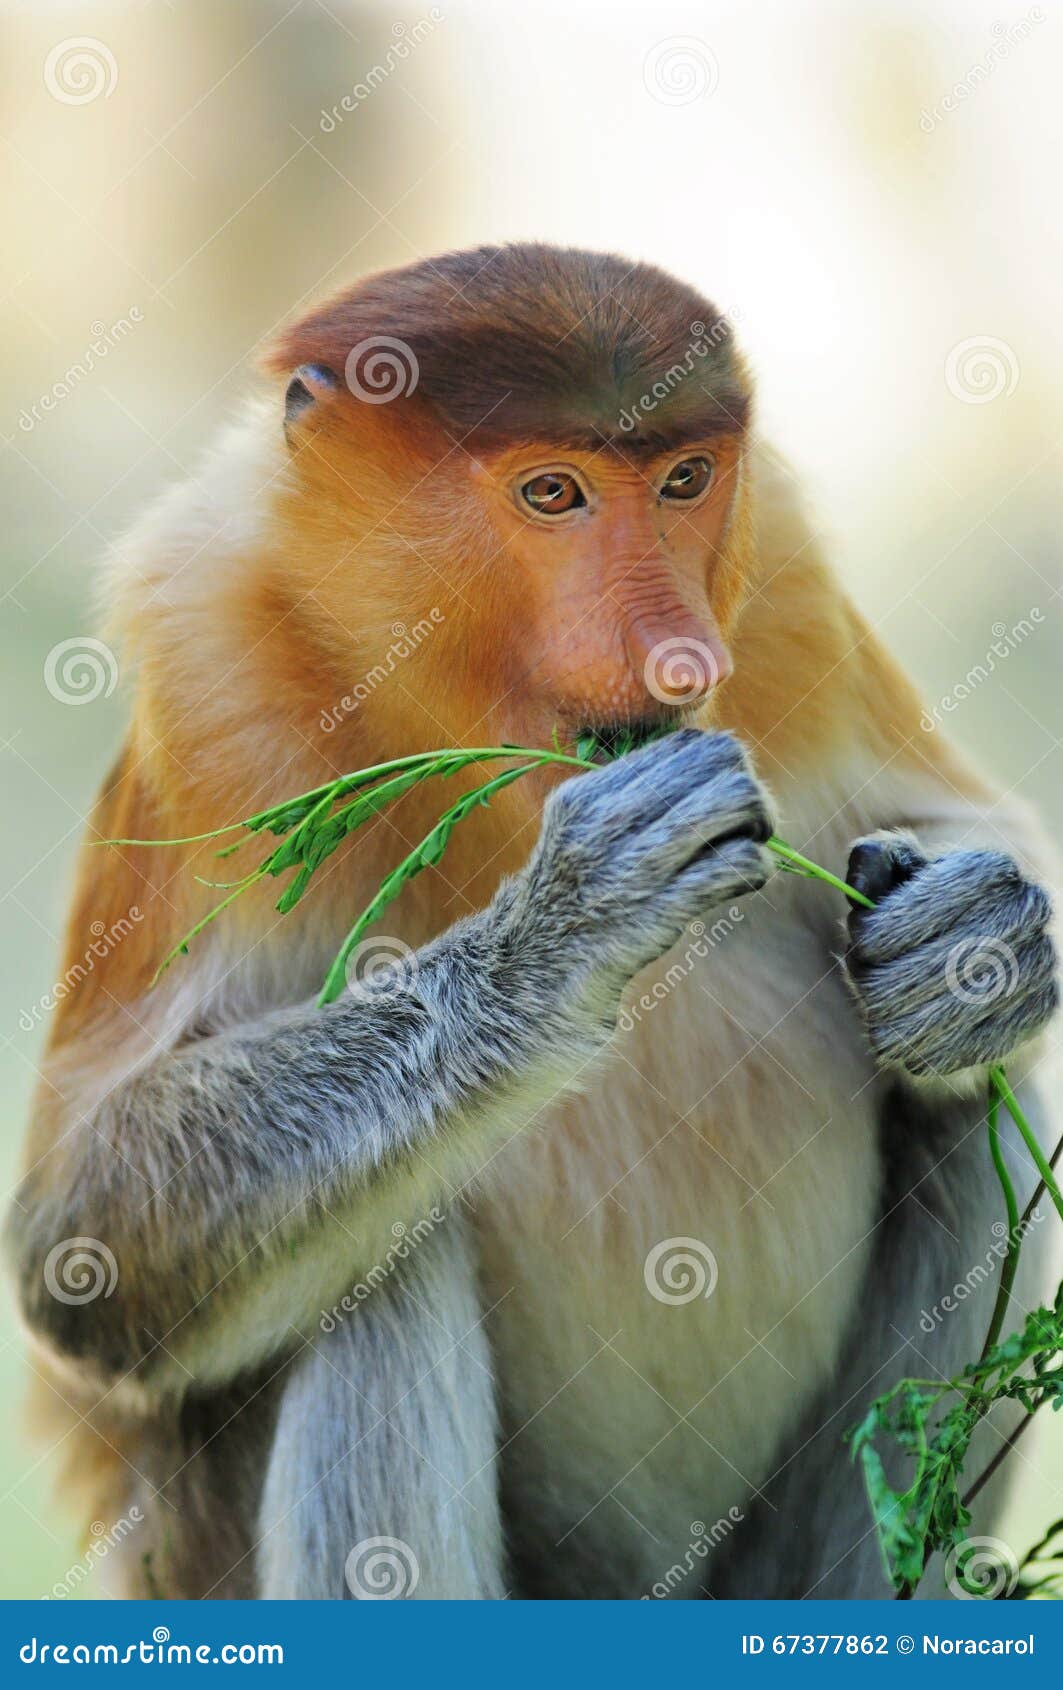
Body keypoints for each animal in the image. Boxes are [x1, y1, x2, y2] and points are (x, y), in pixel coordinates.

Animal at [6, 244, 1058, 1601]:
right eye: (551, 492)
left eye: (682, 480)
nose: (679, 659)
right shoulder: (207, 675)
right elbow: (78, 1239)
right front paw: (563, 932)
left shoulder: (782, 579)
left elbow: (954, 822)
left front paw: (972, 944)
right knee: (379, 1252)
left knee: (969, 1105)